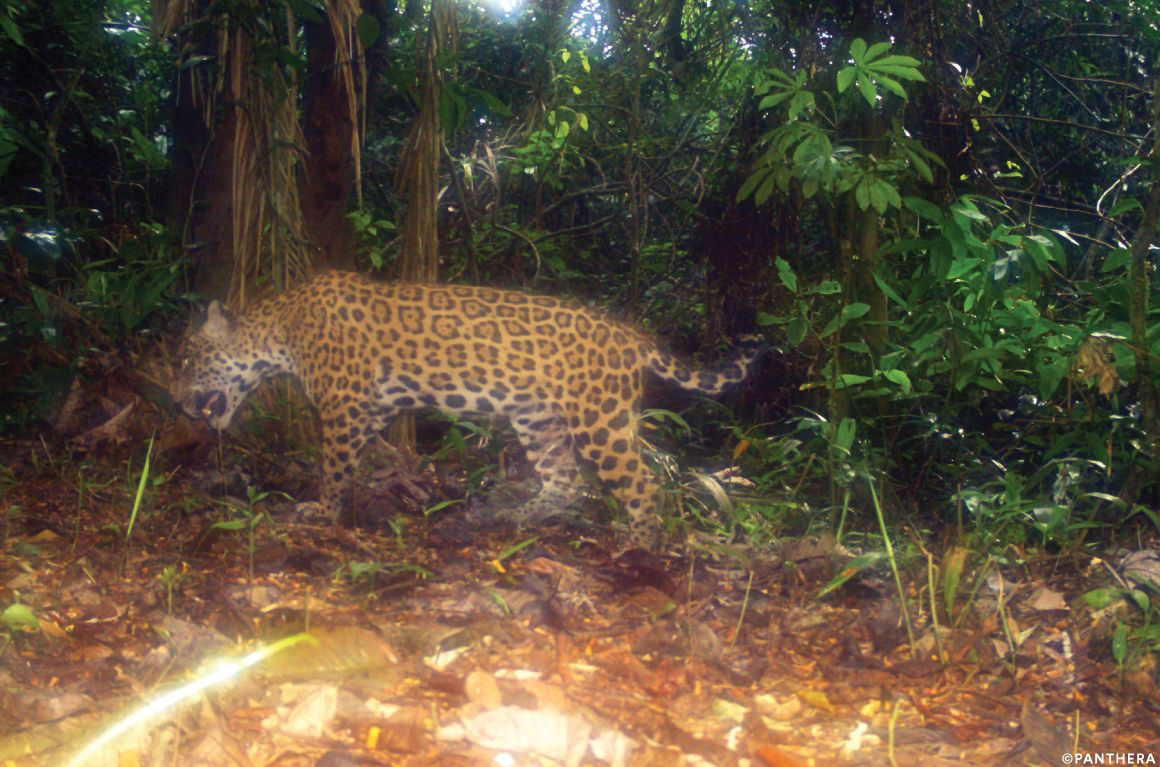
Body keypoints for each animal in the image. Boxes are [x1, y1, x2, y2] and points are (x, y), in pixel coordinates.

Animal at [175, 271, 760, 547]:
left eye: (185, 361)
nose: (176, 404)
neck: (278, 331)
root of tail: (630, 335)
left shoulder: (343, 405)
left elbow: (334, 465)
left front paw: (321, 510)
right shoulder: (368, 407)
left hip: (600, 420)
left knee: (642, 482)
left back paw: (637, 546)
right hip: (538, 419)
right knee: (564, 478)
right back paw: (518, 515)